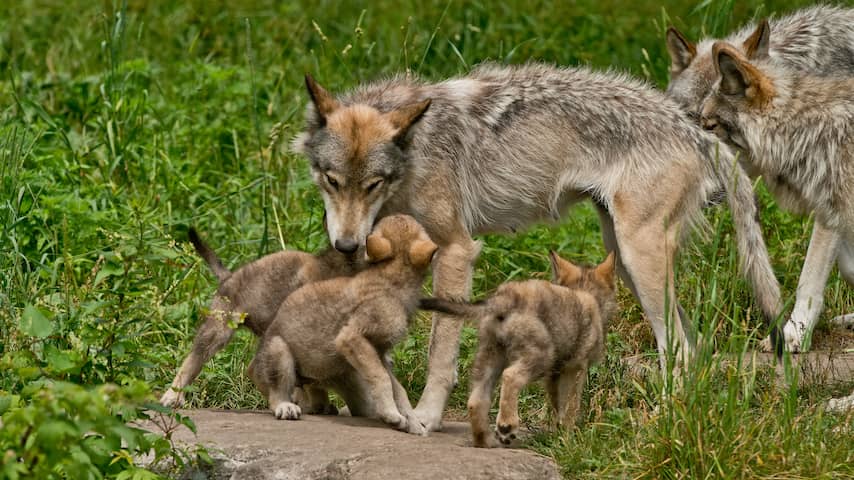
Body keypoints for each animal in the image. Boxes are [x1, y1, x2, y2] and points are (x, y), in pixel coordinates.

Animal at [248, 215, 437, 434]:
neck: (392, 278)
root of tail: (253, 368)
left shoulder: (378, 351)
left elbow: (398, 390)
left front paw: (413, 424)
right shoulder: (351, 338)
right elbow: (381, 379)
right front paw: (391, 415)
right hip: (279, 352)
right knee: (276, 394)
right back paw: (285, 406)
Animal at [421, 251, 617, 447]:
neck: (585, 292)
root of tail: (504, 299)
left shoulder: (555, 373)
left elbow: (557, 406)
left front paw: (557, 435)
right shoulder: (575, 367)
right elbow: (570, 406)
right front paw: (568, 440)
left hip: (490, 357)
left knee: (476, 401)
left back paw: (484, 441)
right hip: (540, 358)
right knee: (510, 376)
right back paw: (506, 426)